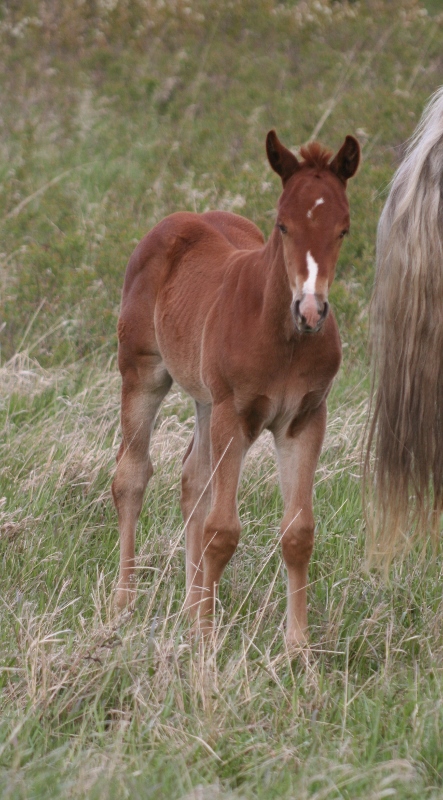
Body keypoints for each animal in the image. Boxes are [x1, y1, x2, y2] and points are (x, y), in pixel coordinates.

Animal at [112, 129, 360, 645]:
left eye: (343, 229)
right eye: (283, 225)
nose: (311, 311)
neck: (283, 339)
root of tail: (180, 219)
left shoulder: (305, 419)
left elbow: (298, 533)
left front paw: (297, 648)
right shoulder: (235, 414)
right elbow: (221, 529)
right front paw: (207, 641)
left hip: (206, 400)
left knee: (192, 478)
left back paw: (190, 608)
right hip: (143, 372)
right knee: (132, 476)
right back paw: (122, 604)